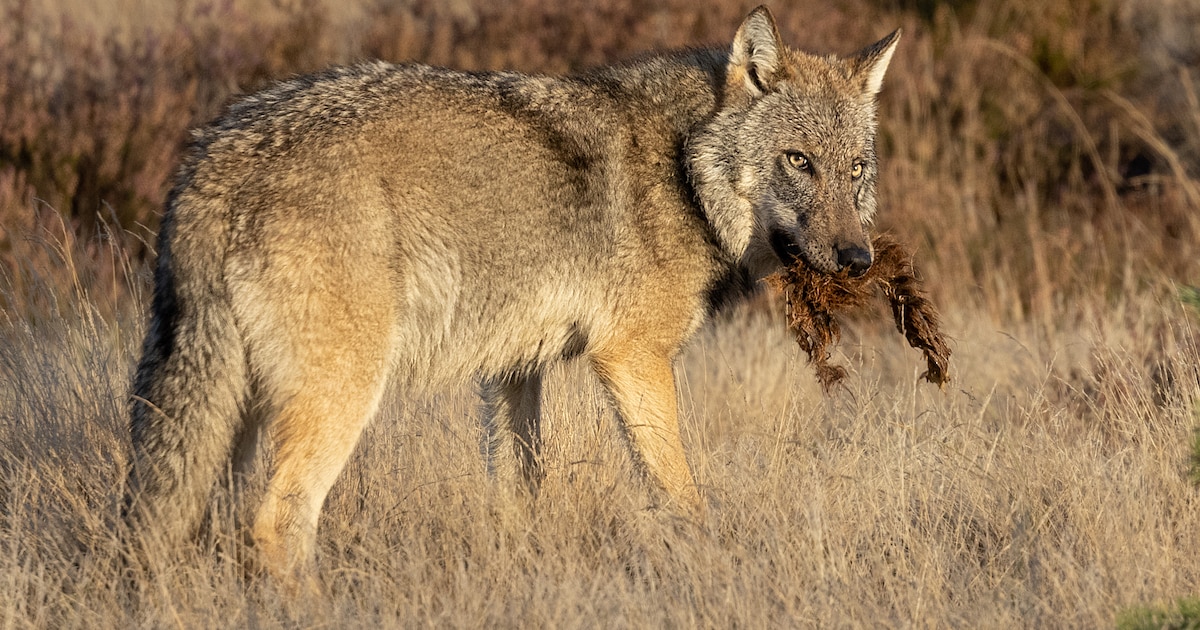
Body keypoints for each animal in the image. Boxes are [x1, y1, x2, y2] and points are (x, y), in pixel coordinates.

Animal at [124, 5, 899, 579]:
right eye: (798, 161)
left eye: (856, 169)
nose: (858, 259)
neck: (684, 171)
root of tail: (215, 155)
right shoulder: (632, 358)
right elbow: (681, 496)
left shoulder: (512, 371)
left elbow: (517, 497)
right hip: (341, 393)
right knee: (278, 524)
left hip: (239, 412)